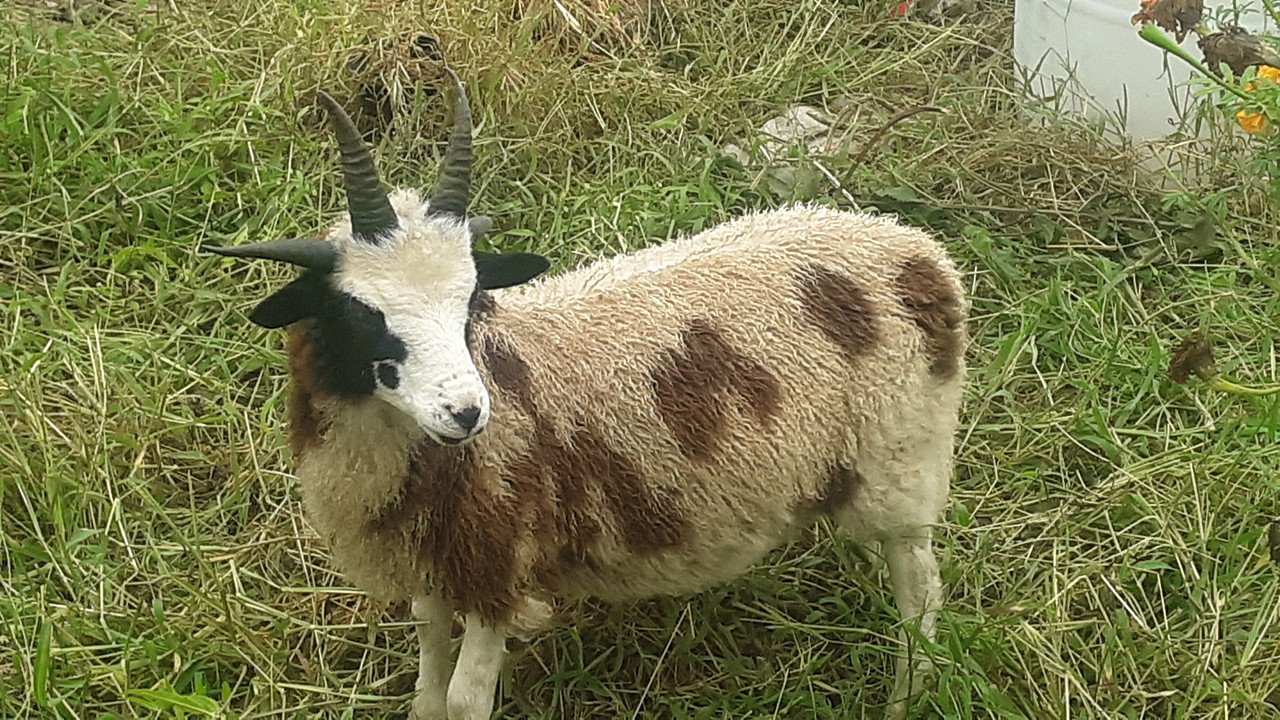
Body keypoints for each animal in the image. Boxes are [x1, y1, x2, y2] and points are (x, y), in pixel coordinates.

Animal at [205, 66, 968, 720]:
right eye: (360, 313)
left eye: (472, 301)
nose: (466, 412)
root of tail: (915, 250)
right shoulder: (435, 558)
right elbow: (428, 673)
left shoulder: (501, 562)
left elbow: (464, 699)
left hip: (903, 453)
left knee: (921, 589)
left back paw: (908, 694)